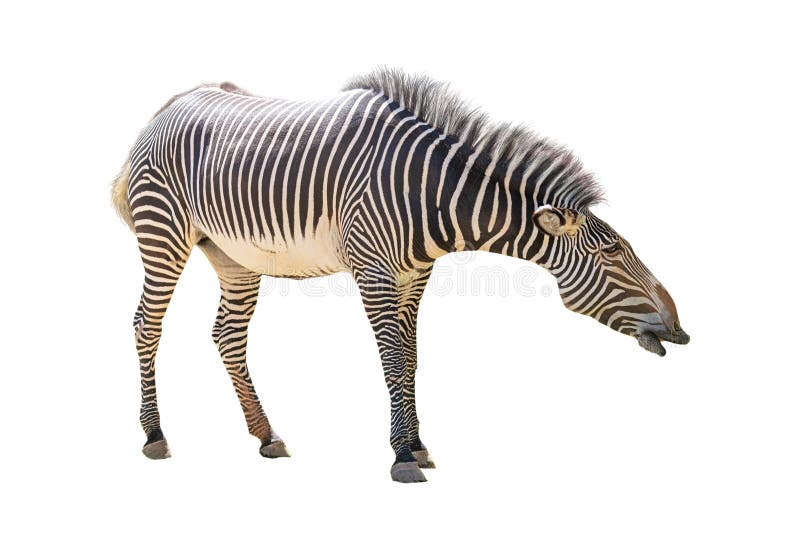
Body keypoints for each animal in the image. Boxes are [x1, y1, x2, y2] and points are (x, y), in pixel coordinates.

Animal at [112, 68, 690, 483]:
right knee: (146, 325)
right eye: (613, 254)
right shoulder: (374, 269)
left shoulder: (415, 275)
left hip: (232, 255)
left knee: (228, 335)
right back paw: (155, 435)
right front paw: (401, 457)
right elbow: (391, 359)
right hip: (163, 233)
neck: (431, 195)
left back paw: (266, 435)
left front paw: (418, 445)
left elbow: (410, 358)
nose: (680, 330)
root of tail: (168, 106)